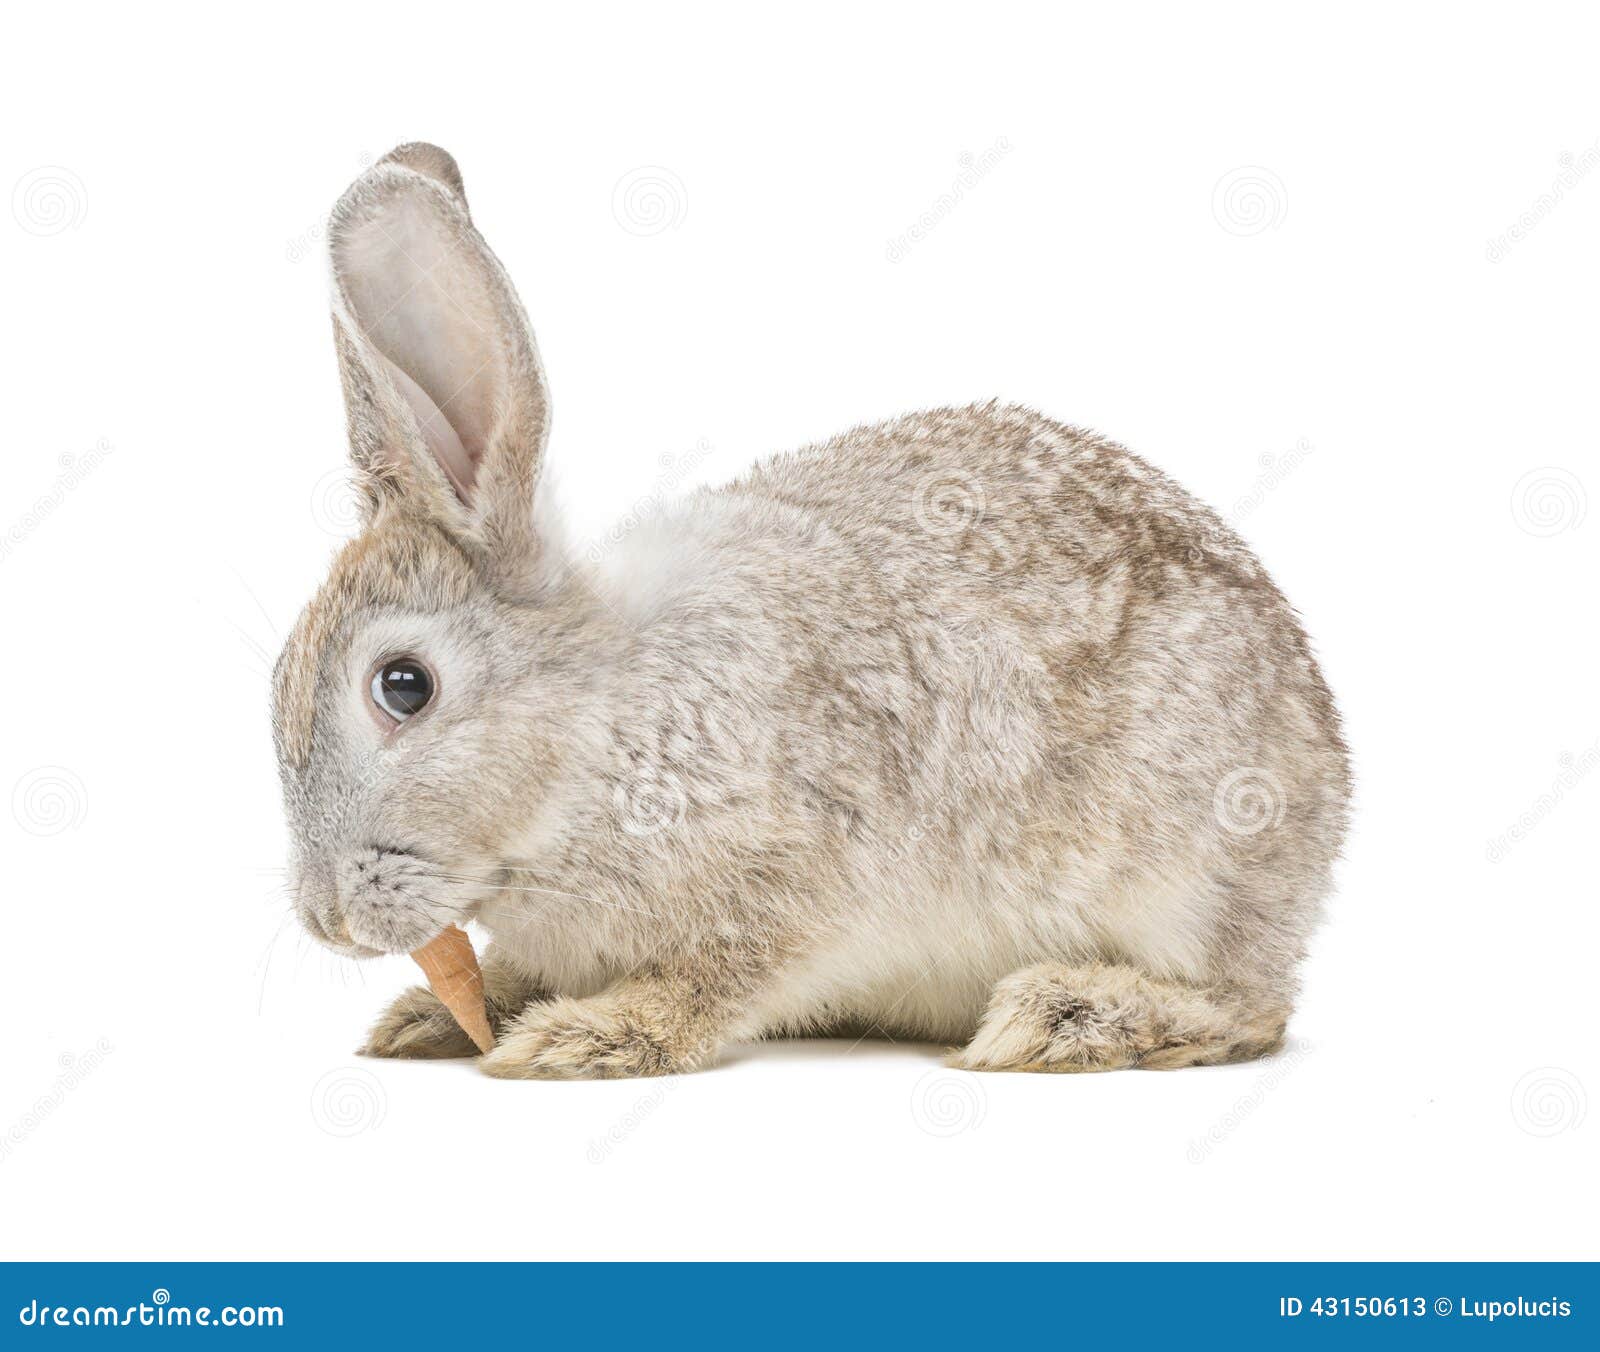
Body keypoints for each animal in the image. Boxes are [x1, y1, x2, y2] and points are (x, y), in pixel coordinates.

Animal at [272, 143, 1351, 1079]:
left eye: (403, 685)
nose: (325, 918)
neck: (593, 738)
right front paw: (435, 1017)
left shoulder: (793, 882)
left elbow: (712, 984)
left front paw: (586, 1036)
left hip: (1191, 877)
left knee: (1250, 1007)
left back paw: (1060, 1016)